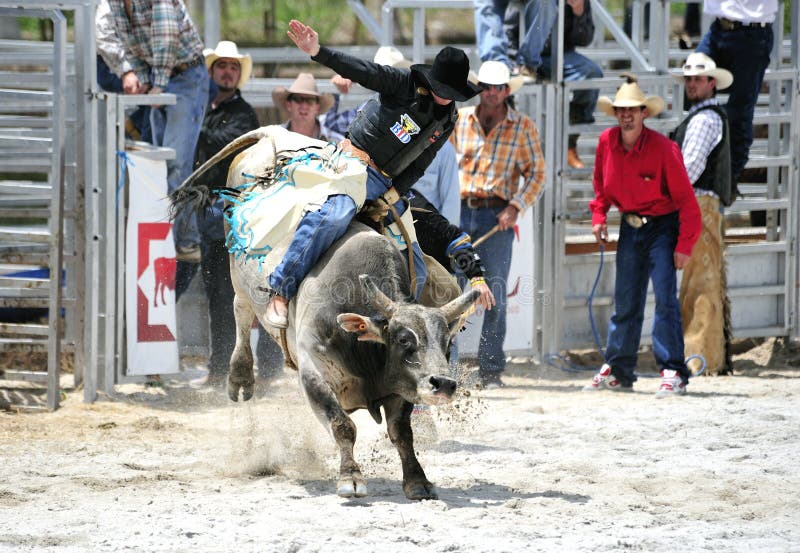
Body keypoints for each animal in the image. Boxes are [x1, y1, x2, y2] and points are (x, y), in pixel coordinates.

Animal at [172, 126, 478, 500]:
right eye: (404, 339)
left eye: (447, 343)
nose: (444, 383)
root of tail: (273, 132)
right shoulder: (313, 370)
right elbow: (342, 425)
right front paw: (351, 478)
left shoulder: (399, 385)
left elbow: (402, 433)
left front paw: (417, 480)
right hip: (237, 276)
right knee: (241, 315)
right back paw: (241, 378)